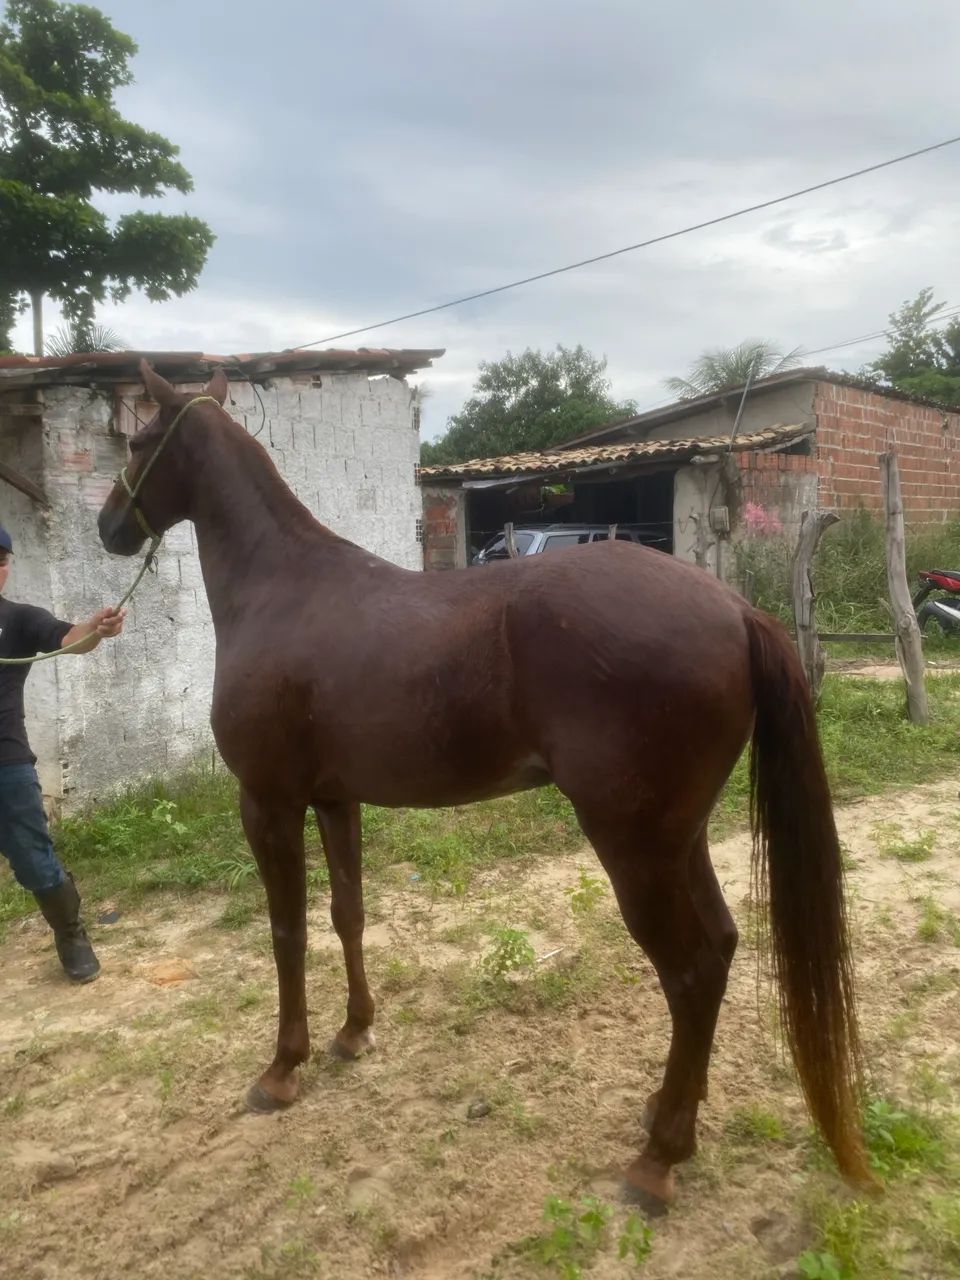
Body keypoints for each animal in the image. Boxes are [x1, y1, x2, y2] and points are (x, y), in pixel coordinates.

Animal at [96, 359, 870, 1210]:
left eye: (135, 440)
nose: (108, 527)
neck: (282, 589)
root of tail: (734, 608)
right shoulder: (335, 799)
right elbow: (347, 914)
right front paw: (354, 1032)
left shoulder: (268, 801)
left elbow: (286, 932)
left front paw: (280, 1070)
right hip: (680, 839)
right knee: (724, 946)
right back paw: (672, 1110)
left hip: (634, 848)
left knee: (691, 970)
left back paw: (658, 1157)